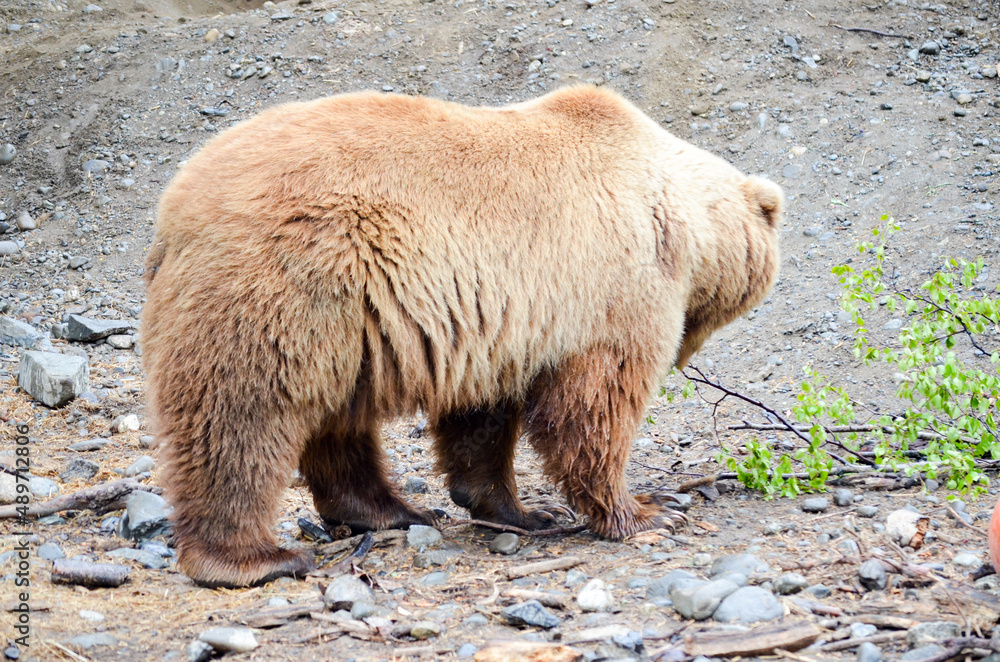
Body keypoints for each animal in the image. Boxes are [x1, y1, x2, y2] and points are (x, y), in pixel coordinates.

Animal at [142, 85, 782, 588]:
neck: (678, 218)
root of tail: (174, 210)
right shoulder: (612, 287)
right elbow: (595, 405)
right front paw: (647, 511)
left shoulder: (498, 318)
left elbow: (483, 419)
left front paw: (517, 511)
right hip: (287, 280)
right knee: (241, 414)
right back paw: (254, 558)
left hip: (344, 320)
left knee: (336, 418)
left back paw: (390, 511)